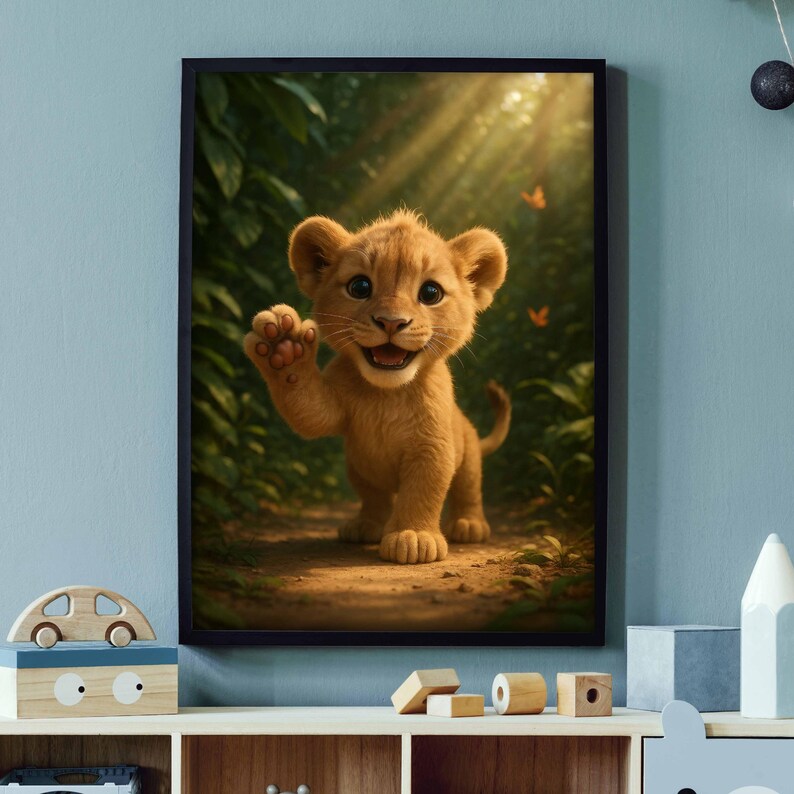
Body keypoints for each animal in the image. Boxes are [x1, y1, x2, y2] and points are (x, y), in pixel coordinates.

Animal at [243, 209, 511, 564]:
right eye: (360, 286)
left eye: (430, 293)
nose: (391, 322)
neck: (388, 393)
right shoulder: (332, 405)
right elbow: (312, 414)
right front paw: (284, 347)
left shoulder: (433, 446)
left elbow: (423, 491)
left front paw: (413, 536)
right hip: (359, 465)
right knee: (375, 497)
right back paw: (364, 525)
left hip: (467, 457)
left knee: (468, 489)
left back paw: (469, 525)